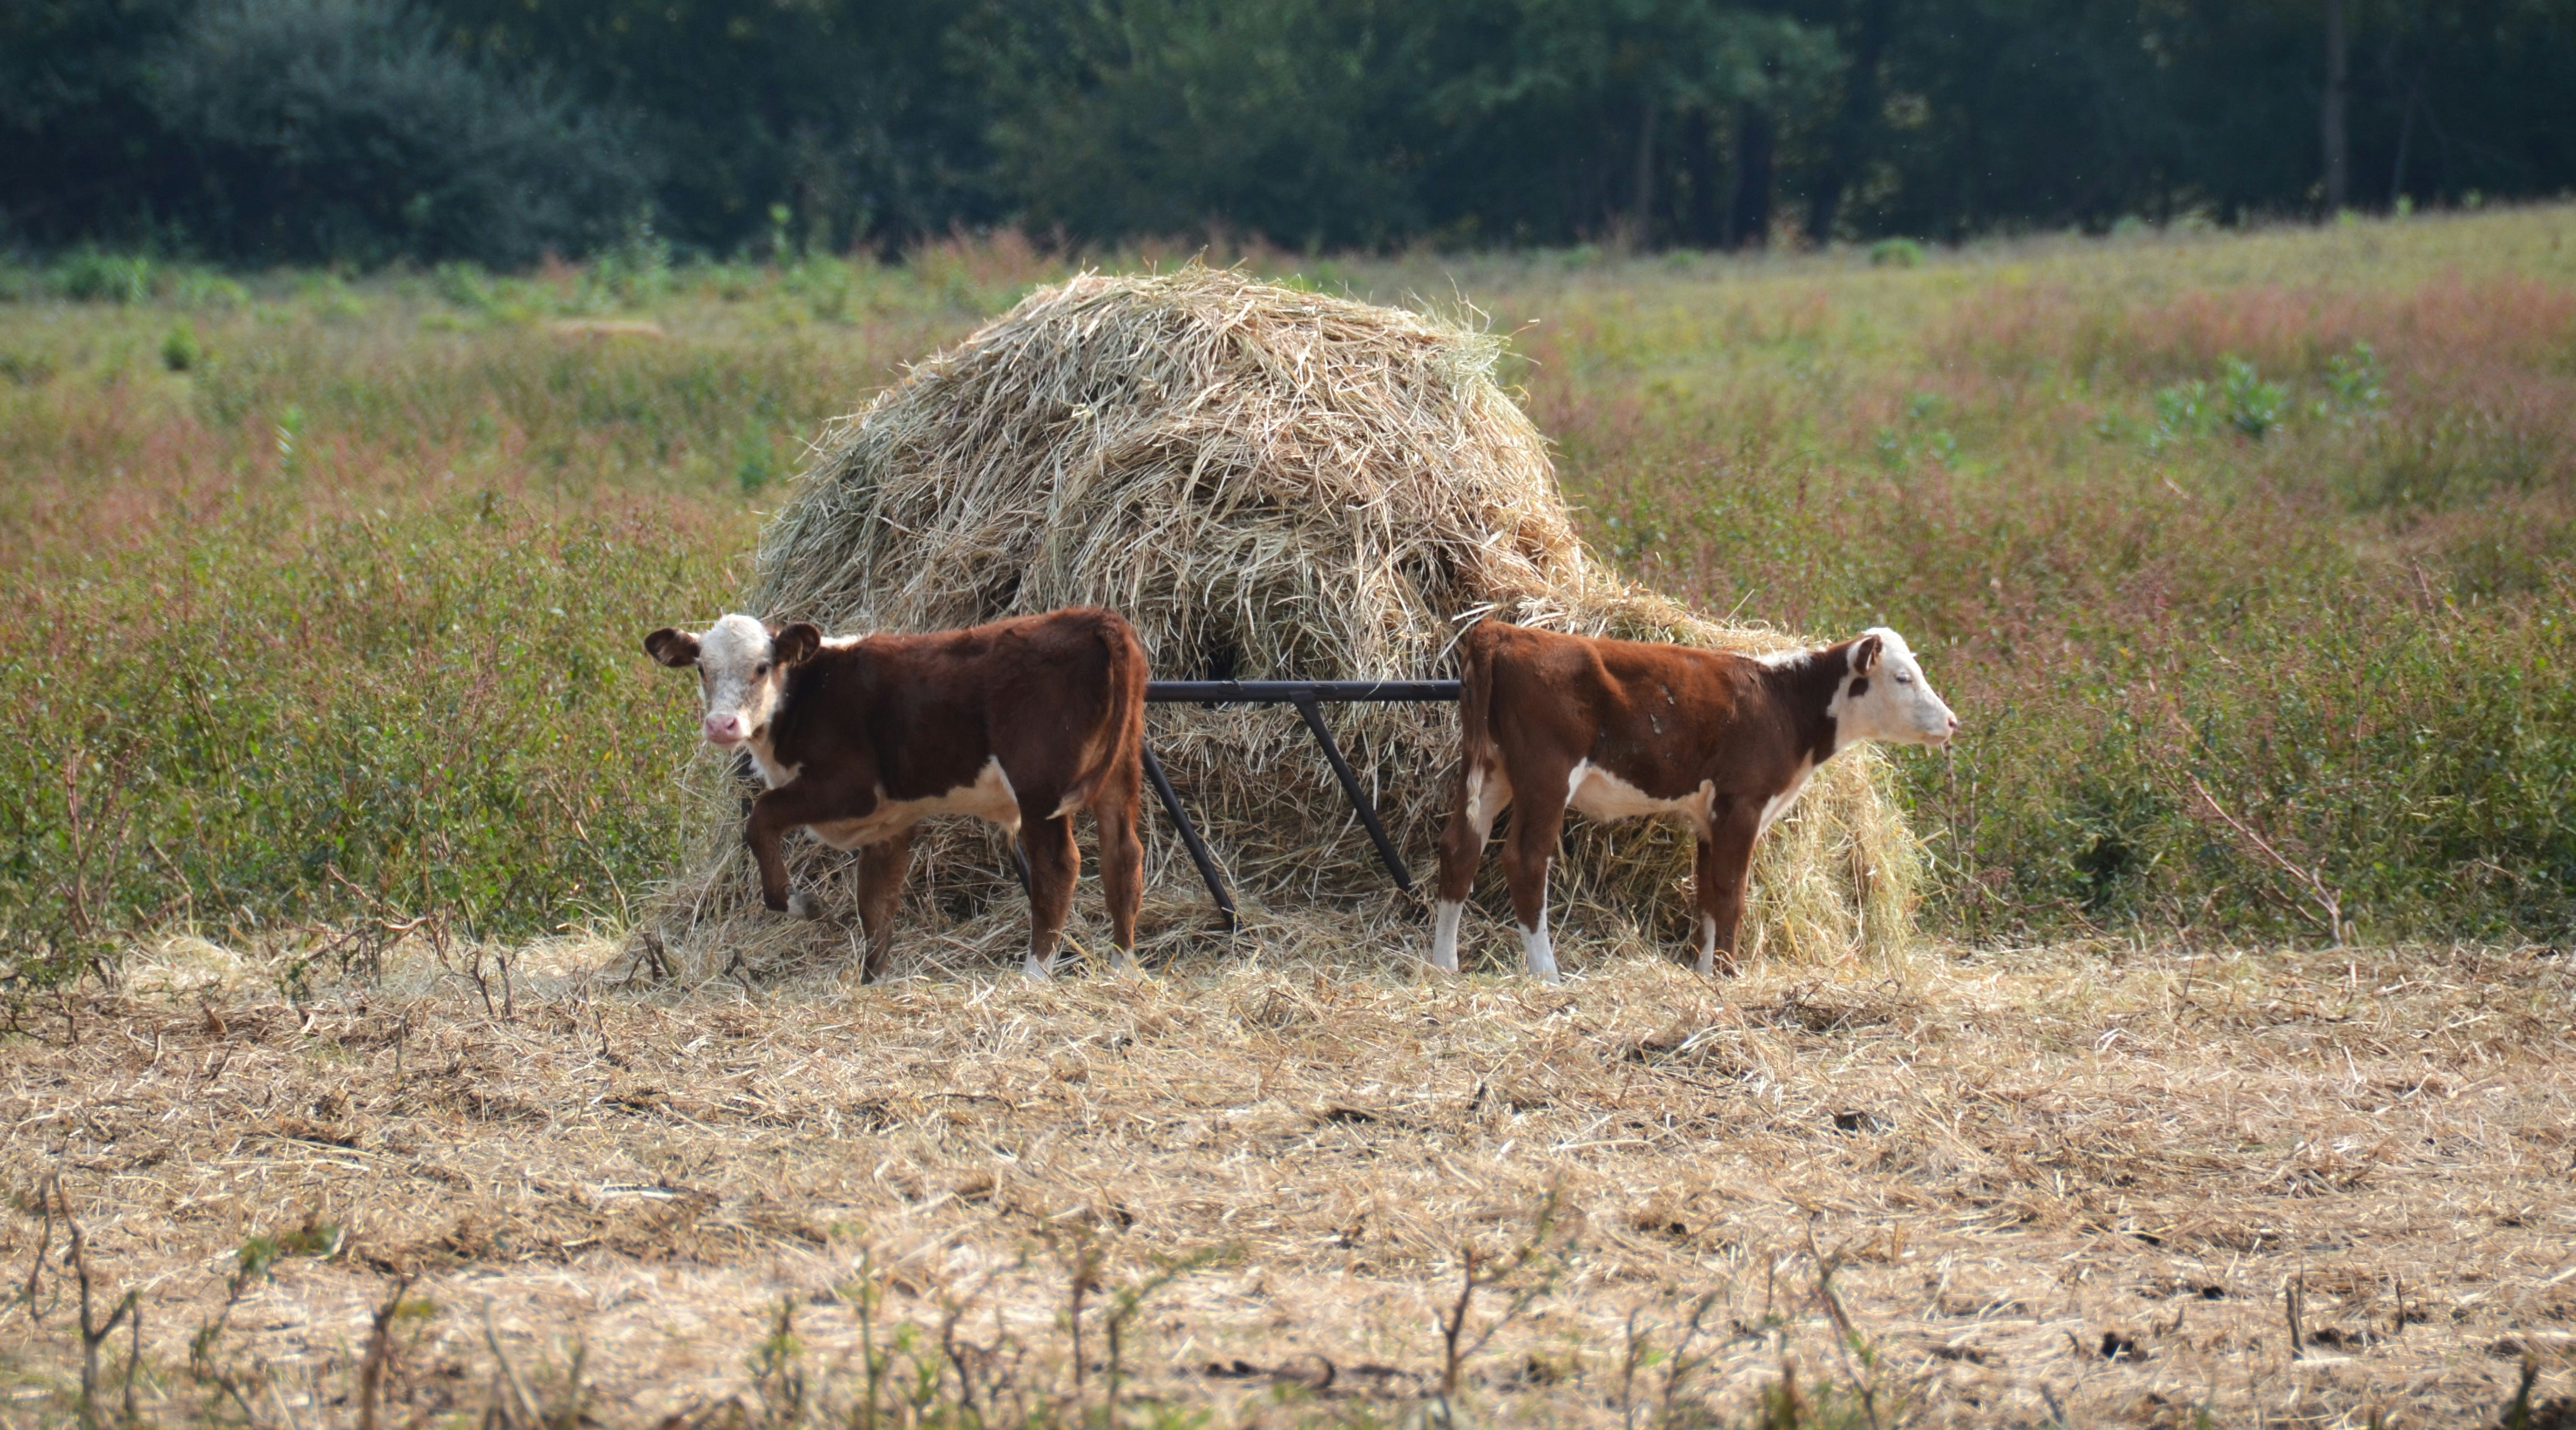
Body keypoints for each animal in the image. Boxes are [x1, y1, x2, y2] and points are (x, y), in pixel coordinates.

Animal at [643, 607, 1148, 982]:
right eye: (702, 669)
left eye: (762, 667)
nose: (720, 725)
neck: (808, 694)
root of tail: (1093, 618)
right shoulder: (885, 825)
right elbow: (876, 905)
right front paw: (873, 981)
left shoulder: (848, 788)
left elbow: (761, 819)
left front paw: (801, 904)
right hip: (1121, 770)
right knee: (1122, 854)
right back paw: (1122, 967)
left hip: (1041, 786)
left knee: (1058, 866)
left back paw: (1035, 973)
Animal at [1429, 621, 1957, 982]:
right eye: (1903, 677)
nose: (1951, 721)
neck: (1784, 703)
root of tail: (1503, 632)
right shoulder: (1741, 804)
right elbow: (1732, 893)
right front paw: (1727, 972)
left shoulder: (1710, 820)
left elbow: (1707, 894)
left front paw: (1706, 973)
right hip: (1545, 777)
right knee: (1525, 860)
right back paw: (1547, 973)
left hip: (1488, 771)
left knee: (1459, 849)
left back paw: (1445, 965)